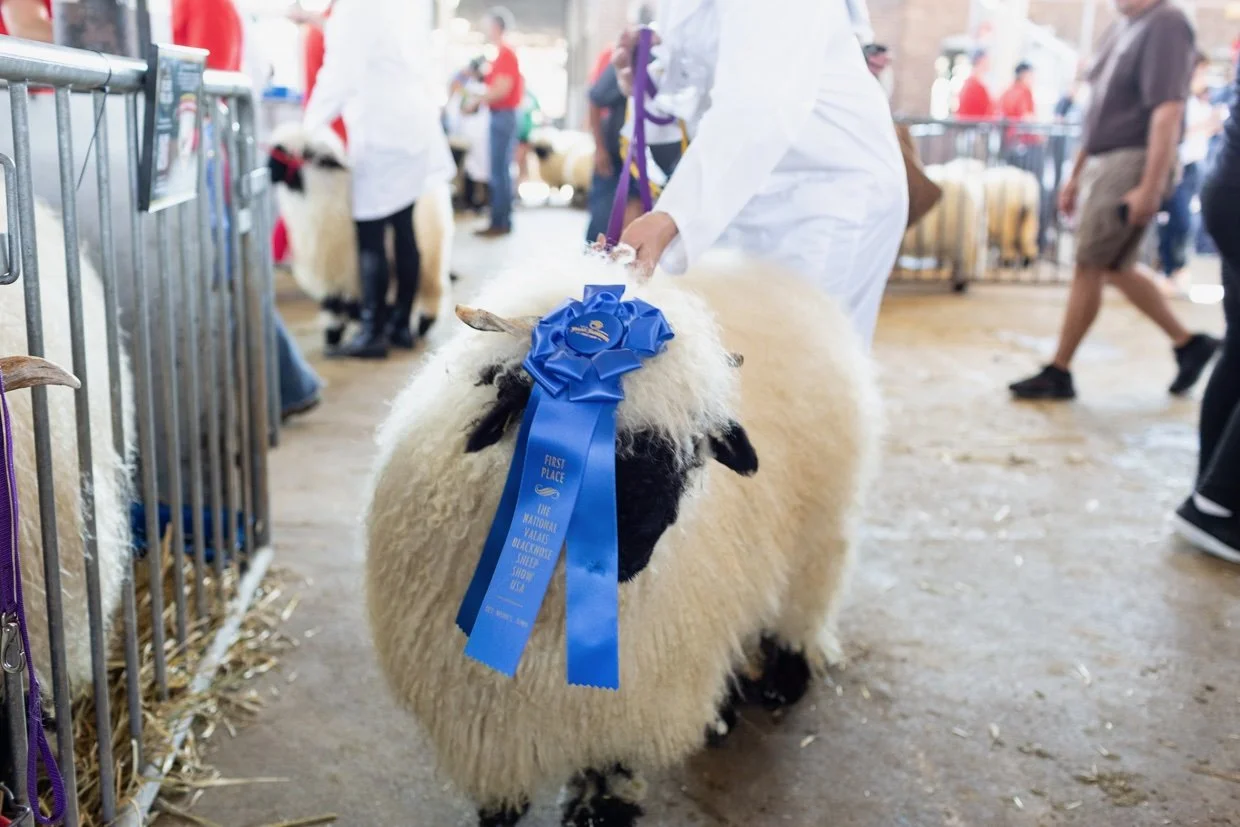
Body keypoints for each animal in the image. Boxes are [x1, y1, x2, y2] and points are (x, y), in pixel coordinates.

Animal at [364, 251, 880, 826]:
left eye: (691, 449)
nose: (629, 555)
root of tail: (772, 272)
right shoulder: (475, 695)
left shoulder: (627, 690)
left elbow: (609, 764)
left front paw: (603, 808)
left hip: (822, 519)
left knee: (808, 596)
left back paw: (785, 674)